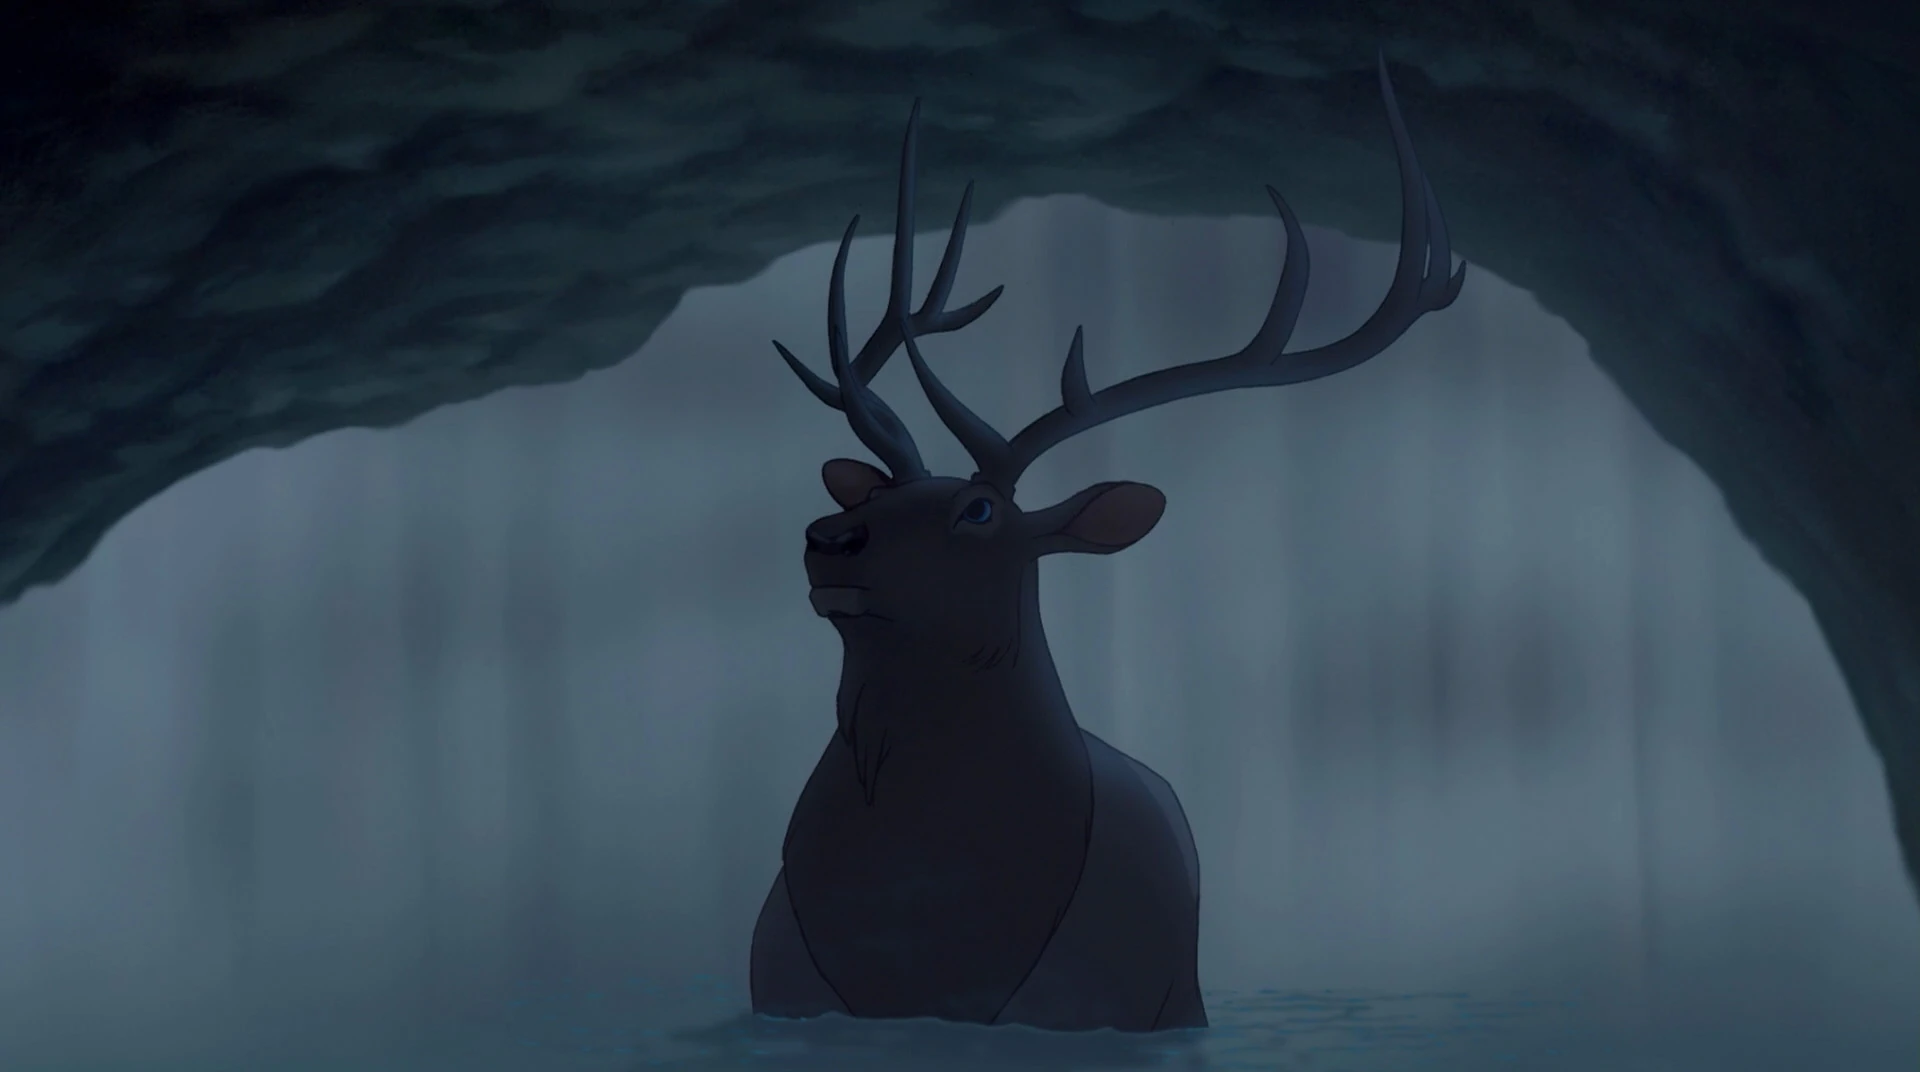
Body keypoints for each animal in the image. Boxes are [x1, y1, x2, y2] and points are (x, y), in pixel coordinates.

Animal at [747, 55, 1466, 1033]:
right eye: (878, 490)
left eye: (980, 512)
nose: (830, 536)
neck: (927, 929)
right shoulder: (780, 988)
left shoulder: (1097, 993)